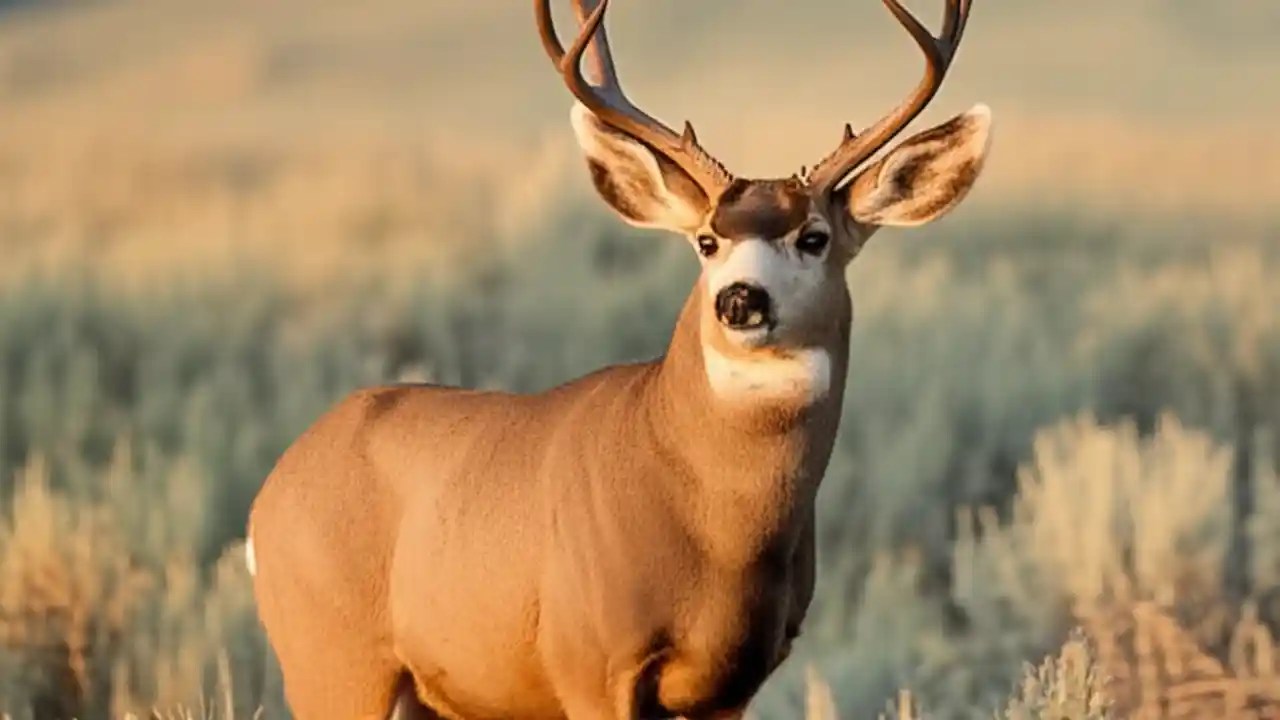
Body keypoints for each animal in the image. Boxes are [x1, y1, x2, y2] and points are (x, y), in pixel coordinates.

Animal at [246, 0, 991, 718]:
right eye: (706, 240)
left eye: (814, 237)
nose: (740, 300)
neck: (714, 526)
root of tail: (266, 500)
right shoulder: (590, 661)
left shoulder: (733, 685)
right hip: (332, 659)